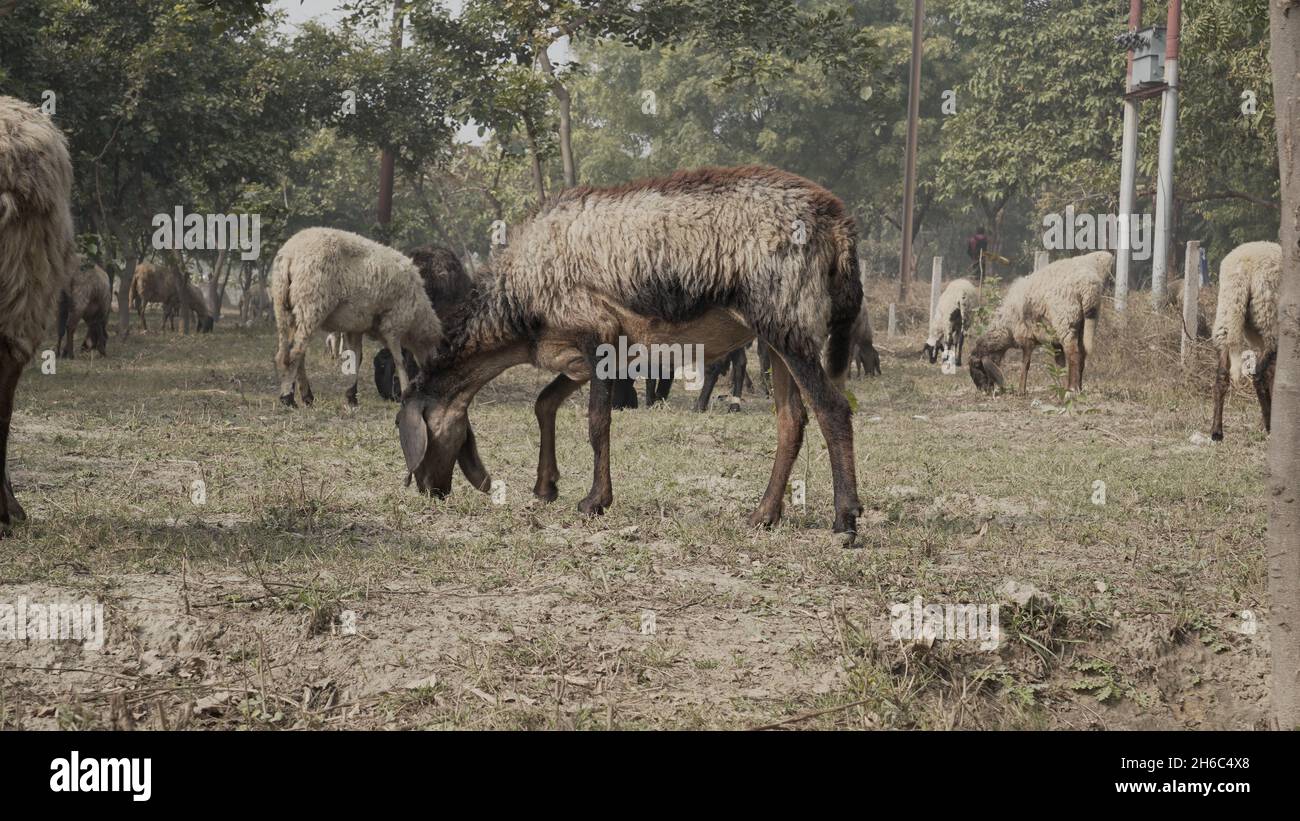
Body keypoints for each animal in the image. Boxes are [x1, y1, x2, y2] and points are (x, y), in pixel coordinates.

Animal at [271, 227, 442, 407]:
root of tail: (290, 253)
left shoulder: (355, 327)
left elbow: (356, 357)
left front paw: (351, 397)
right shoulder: (393, 323)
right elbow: (399, 361)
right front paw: (405, 392)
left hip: (284, 308)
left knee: (292, 353)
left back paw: (306, 396)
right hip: (310, 305)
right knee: (295, 353)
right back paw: (288, 397)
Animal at [397, 166, 865, 541]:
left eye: (426, 435)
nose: (430, 491)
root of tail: (838, 221)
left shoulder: (598, 335)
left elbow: (596, 422)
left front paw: (594, 501)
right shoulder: (578, 356)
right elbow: (544, 403)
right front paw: (546, 487)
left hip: (790, 320)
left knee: (832, 409)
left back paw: (845, 519)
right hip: (775, 331)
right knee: (791, 419)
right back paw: (764, 515)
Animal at [969, 251, 1112, 395]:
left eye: (977, 365)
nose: (983, 390)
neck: (1007, 328)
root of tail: (1088, 285)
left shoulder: (1026, 336)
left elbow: (1025, 364)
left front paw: (1021, 390)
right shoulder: (1054, 342)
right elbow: (1059, 364)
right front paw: (1058, 385)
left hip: (1065, 320)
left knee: (1074, 354)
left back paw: (1071, 390)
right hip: (1084, 324)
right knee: (1082, 355)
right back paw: (1079, 388)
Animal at [1210, 241, 1280, 441]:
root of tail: (1243, 269)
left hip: (1227, 315)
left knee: (1222, 376)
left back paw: (1216, 432)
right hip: (1268, 318)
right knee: (1258, 375)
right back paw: (1269, 424)